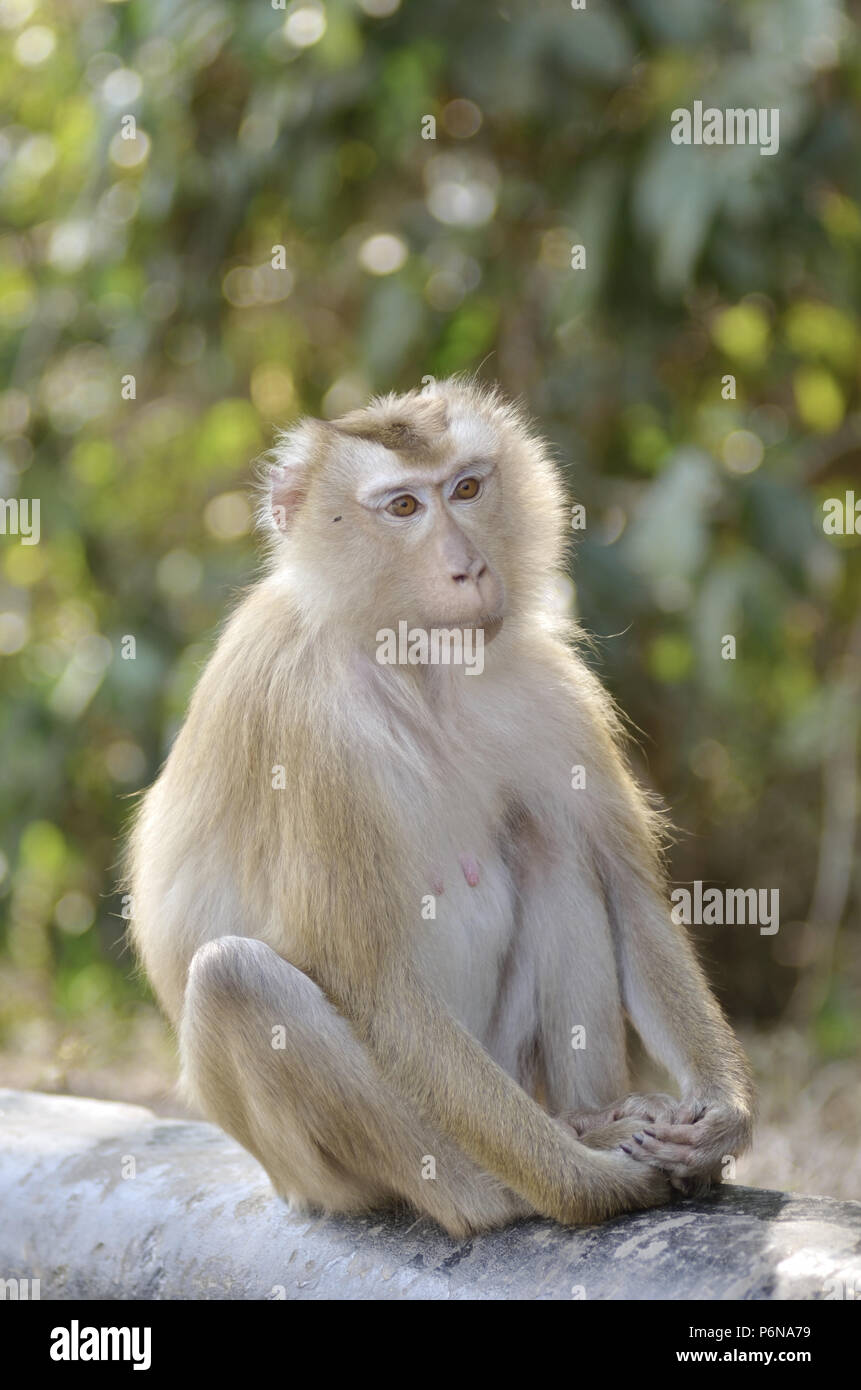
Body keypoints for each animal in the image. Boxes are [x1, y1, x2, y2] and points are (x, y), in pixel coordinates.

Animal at [126, 377, 754, 1238]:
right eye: (402, 507)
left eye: (465, 489)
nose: (469, 569)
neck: (417, 669)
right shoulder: (304, 730)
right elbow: (377, 990)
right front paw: (587, 1187)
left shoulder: (546, 687)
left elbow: (628, 894)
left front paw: (719, 1120)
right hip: (324, 1177)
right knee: (235, 980)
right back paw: (497, 1190)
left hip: (512, 1068)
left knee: (553, 845)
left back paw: (590, 1115)